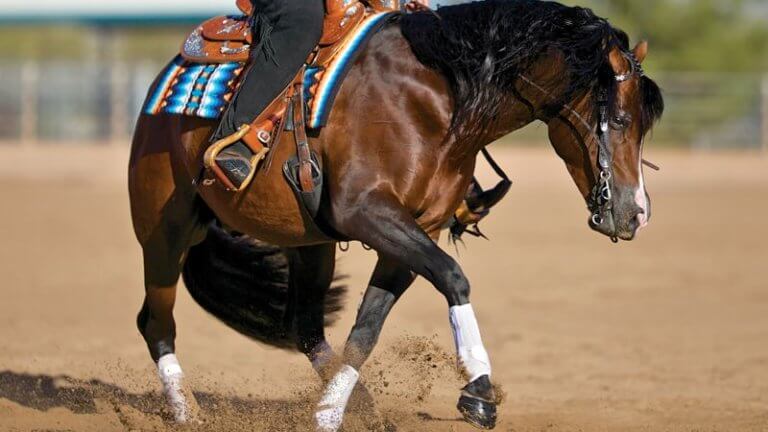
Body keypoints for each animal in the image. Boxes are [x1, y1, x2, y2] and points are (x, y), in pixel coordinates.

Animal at [128, 0, 664, 430]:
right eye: (619, 120)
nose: (636, 214)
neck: (437, 99)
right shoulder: (368, 212)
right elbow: (454, 276)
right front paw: (479, 389)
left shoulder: (413, 231)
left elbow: (366, 329)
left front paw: (329, 414)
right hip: (165, 229)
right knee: (155, 321)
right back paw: (186, 411)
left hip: (309, 244)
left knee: (306, 328)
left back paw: (351, 403)